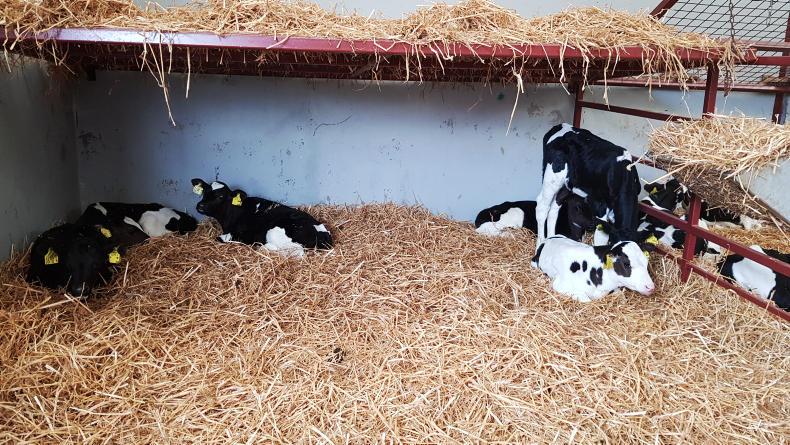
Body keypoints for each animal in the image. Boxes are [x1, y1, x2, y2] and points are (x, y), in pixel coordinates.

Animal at [191, 178, 333, 257]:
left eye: (220, 196)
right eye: (204, 192)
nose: (200, 206)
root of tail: (323, 232)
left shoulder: (235, 235)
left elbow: (219, 238)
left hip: (275, 232)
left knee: (298, 252)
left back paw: (264, 247)